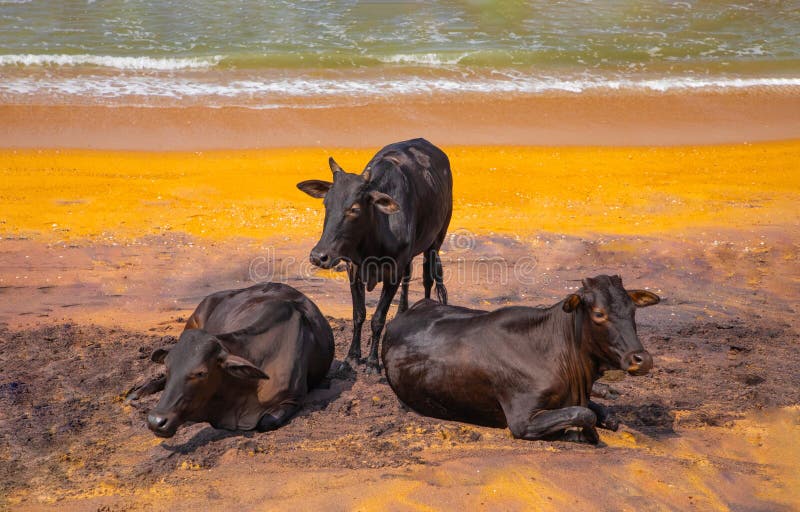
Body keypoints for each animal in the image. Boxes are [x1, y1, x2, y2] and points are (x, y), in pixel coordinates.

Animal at [127, 283, 334, 438]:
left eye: (201, 373)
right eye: (168, 367)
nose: (156, 421)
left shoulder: (294, 399)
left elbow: (266, 422)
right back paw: (139, 392)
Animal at [297, 138, 453, 374]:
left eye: (354, 208)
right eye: (326, 204)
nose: (319, 256)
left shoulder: (393, 272)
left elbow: (378, 318)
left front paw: (372, 362)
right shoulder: (353, 269)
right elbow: (359, 314)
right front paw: (352, 357)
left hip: (435, 241)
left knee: (428, 279)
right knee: (410, 277)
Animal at [381, 275, 660, 444]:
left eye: (633, 310)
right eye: (599, 313)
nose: (642, 359)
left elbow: (602, 413)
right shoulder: (522, 420)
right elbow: (584, 415)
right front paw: (579, 434)